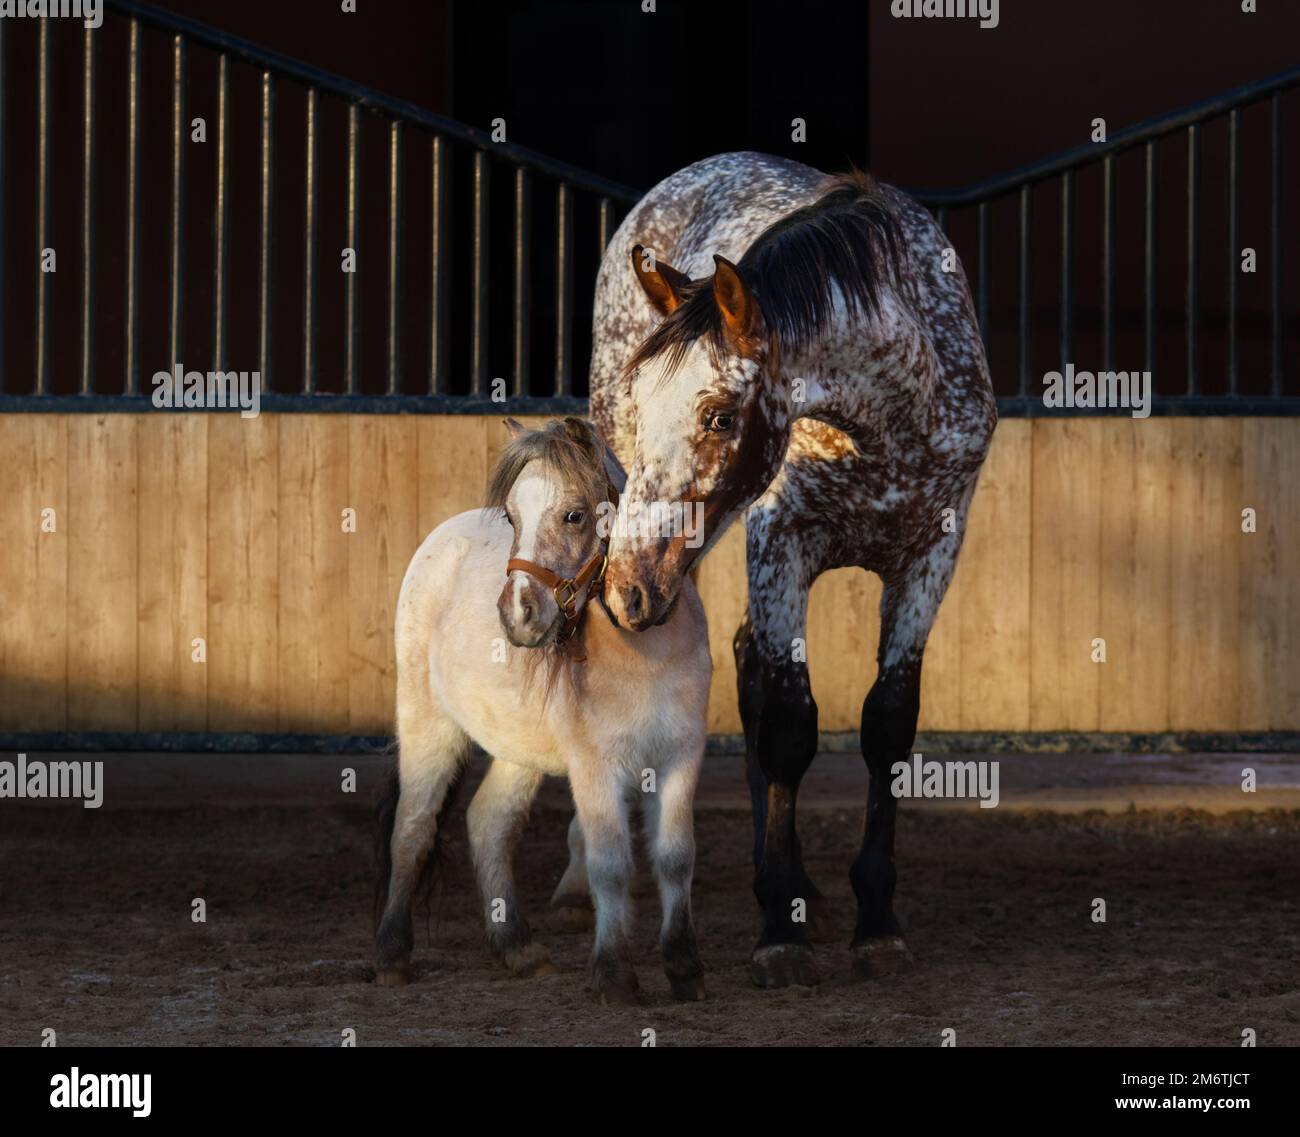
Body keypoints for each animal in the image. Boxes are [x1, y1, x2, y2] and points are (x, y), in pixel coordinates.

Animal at [374, 416, 712, 1004]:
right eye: (512, 516)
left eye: (575, 513)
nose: (517, 614)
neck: (647, 653)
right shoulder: (596, 768)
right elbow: (609, 864)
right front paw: (615, 975)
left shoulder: (680, 758)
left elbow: (675, 858)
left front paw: (684, 969)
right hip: (426, 724)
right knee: (413, 829)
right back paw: (393, 956)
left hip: (518, 752)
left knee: (489, 822)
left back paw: (519, 949)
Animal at [589, 152, 996, 988]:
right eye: (643, 403)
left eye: (718, 414)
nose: (626, 589)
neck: (888, 415)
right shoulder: (781, 541)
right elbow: (787, 723)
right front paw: (780, 930)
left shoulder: (931, 555)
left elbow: (887, 724)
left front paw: (876, 923)